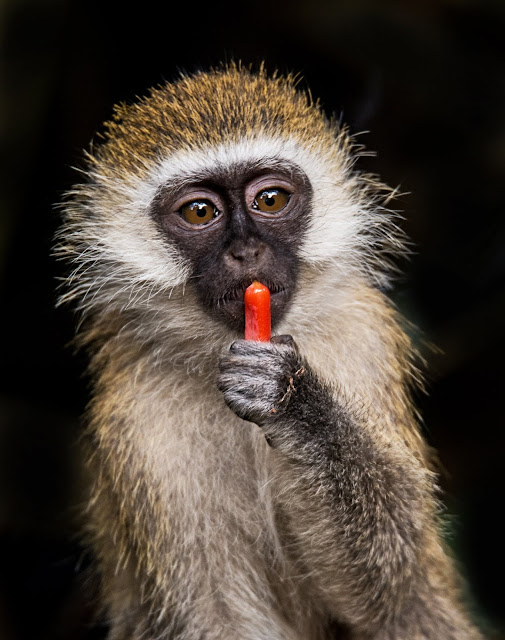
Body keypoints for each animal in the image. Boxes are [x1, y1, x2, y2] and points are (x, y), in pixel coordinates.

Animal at [56, 64, 484, 639]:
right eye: (200, 212)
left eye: (271, 200)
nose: (247, 252)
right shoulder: (141, 419)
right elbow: (215, 615)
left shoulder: (360, 338)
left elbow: (397, 583)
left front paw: (295, 403)